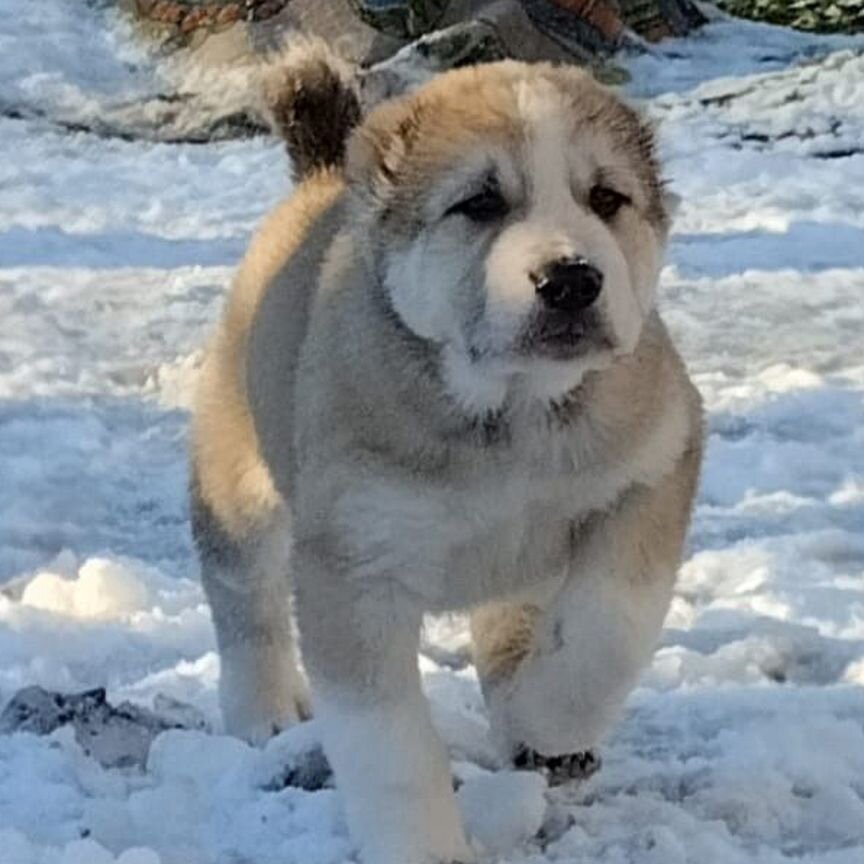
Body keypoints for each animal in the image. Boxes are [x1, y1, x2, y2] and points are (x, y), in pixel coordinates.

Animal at [189, 40, 704, 864]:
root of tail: (323, 178)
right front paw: (421, 846)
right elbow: (389, 747)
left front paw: (546, 719)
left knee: (518, 626)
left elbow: (608, 626)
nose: (571, 279)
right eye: (481, 204)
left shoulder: (658, 463)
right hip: (237, 478)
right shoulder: (354, 568)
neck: (512, 413)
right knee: (243, 597)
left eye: (606, 199)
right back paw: (261, 709)